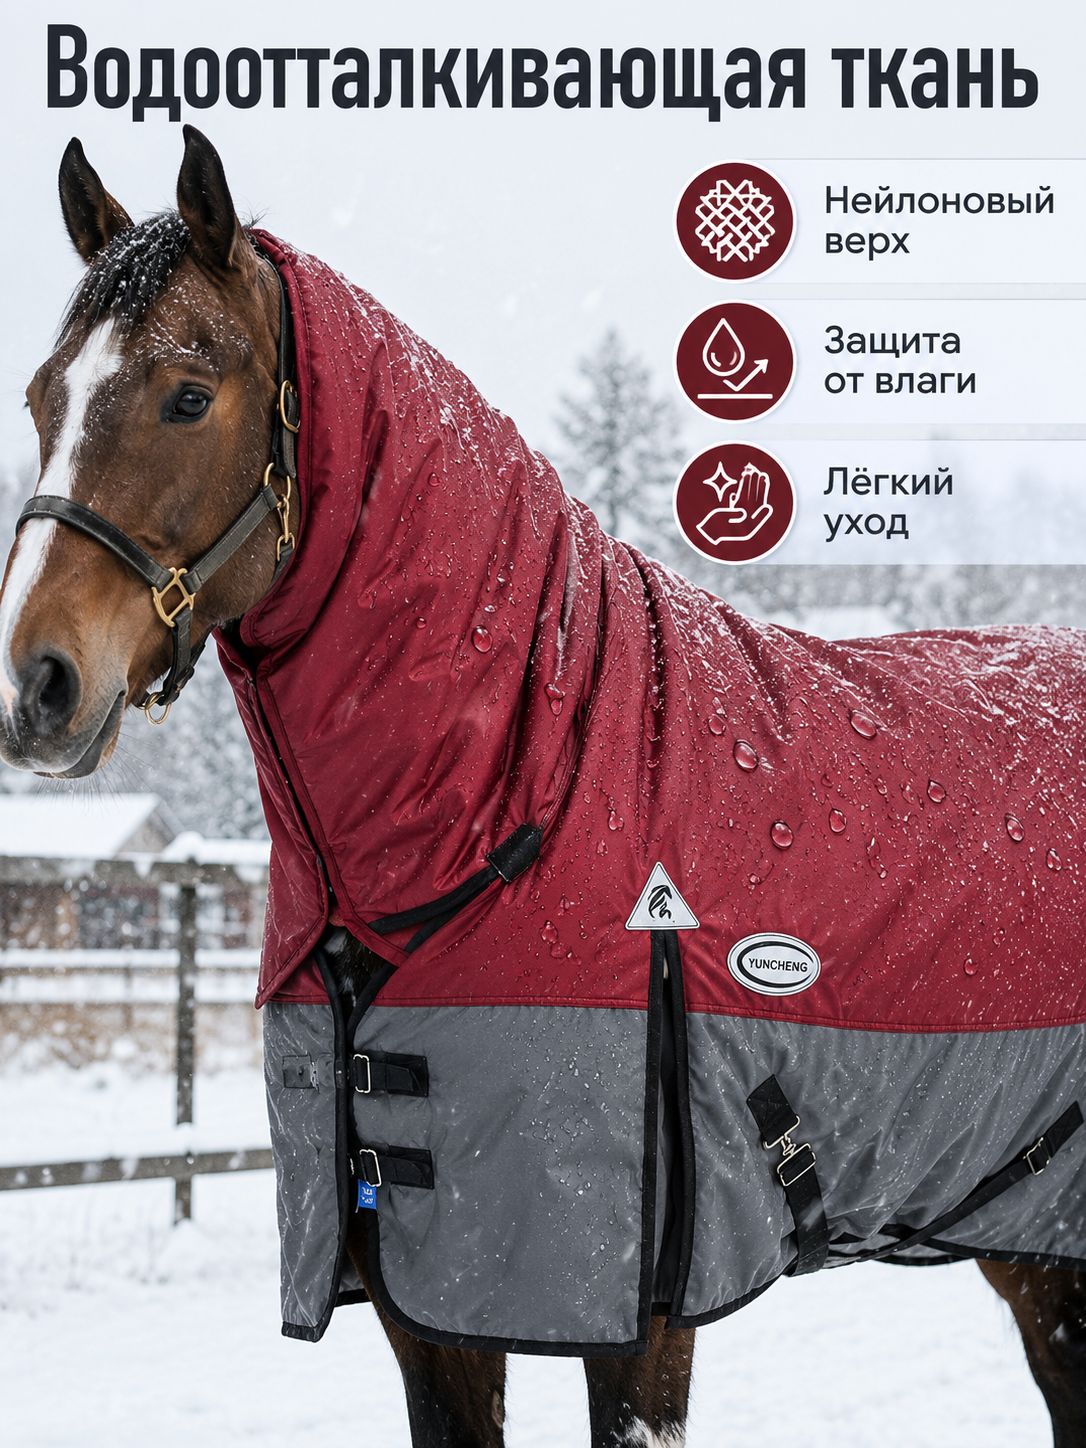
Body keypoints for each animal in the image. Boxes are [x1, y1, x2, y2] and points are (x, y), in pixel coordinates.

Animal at [0, 127, 1083, 1448]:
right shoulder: (430, 1299)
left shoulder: (643, 1317)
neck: (531, 795)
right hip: (1031, 1241)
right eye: (43, 396)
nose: (37, 682)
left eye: (188, 394)